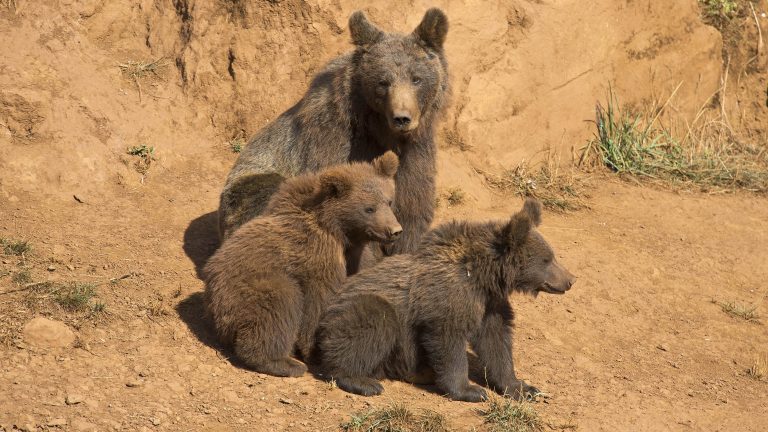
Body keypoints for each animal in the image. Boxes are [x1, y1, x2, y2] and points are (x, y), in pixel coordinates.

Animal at [204, 151, 401, 377]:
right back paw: (284, 363)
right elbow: (319, 300)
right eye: (369, 208)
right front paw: (313, 350)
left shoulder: (355, 253)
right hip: (249, 287)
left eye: (389, 201)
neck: (340, 230)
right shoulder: (318, 255)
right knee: (279, 306)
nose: (394, 230)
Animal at [218, 8, 450, 260]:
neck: (381, 132)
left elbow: (411, 213)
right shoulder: (335, 145)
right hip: (250, 184)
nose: (401, 118)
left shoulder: (416, 155)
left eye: (416, 78)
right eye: (383, 82)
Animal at [313, 198, 576, 402]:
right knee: (370, 322)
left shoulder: (489, 304)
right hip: (353, 314)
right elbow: (449, 341)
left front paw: (523, 388)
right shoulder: (448, 298)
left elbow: (496, 342)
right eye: (547, 260)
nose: (570, 279)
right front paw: (470, 390)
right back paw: (363, 381)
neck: (482, 276)